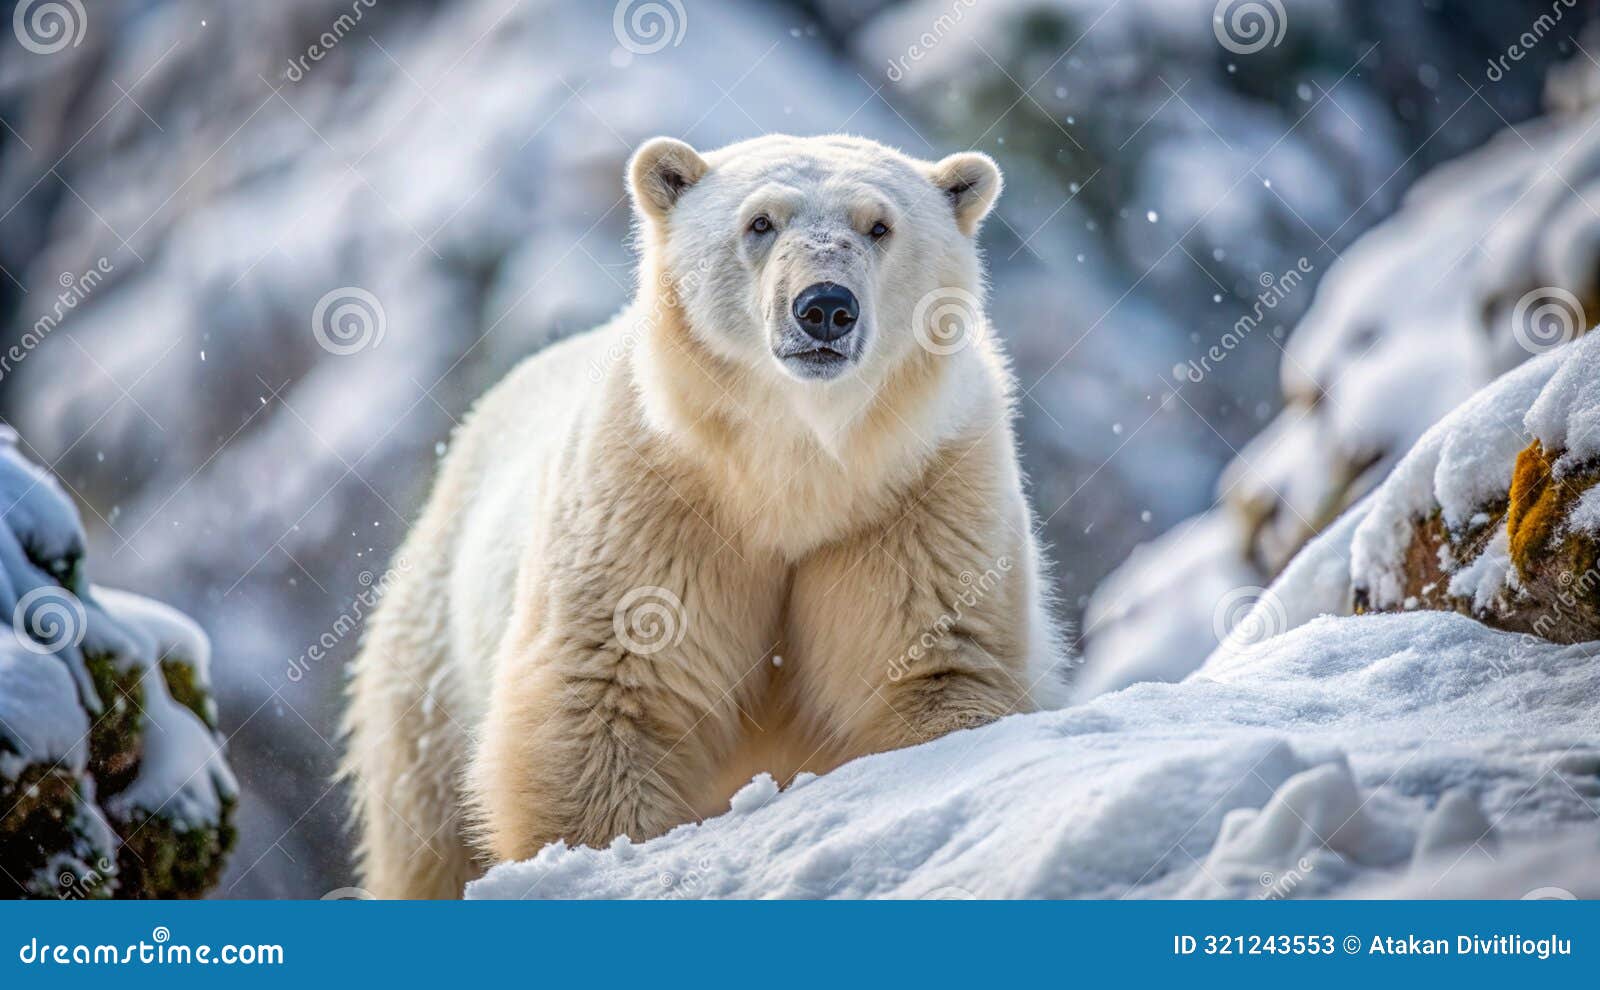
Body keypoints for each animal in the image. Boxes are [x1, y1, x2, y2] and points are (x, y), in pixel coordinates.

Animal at [341, 134, 1064, 899]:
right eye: (760, 222)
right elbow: (608, 691)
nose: (824, 307)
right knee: (426, 831)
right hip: (433, 659)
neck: (795, 471)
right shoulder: (656, 495)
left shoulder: (919, 492)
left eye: (879, 226)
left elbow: (933, 666)